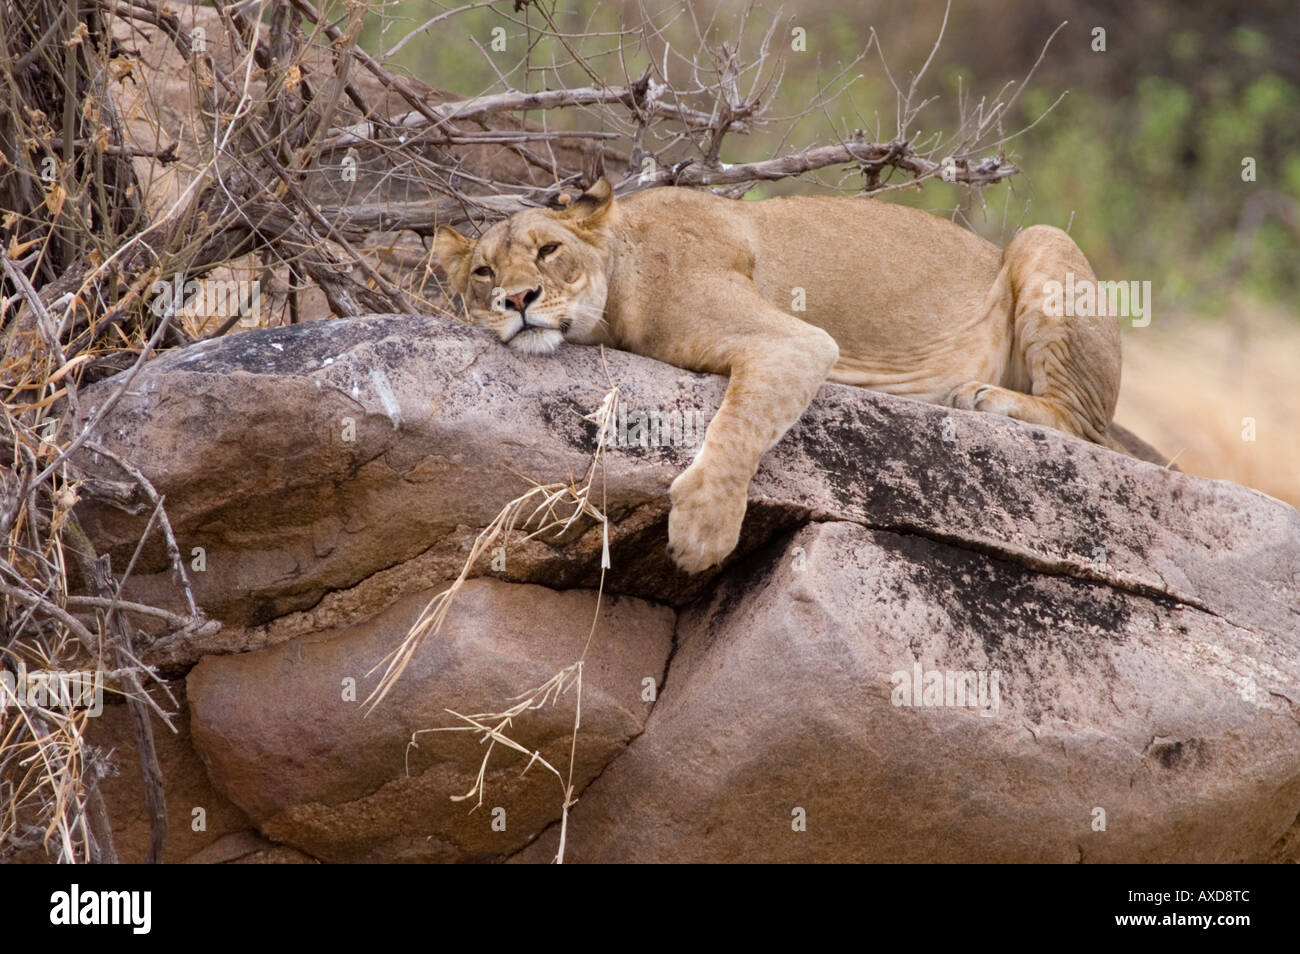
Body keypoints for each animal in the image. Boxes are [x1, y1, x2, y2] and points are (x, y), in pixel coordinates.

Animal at [434, 178, 1128, 574]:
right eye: (483, 272)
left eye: (549, 251)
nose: (516, 300)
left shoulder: (795, 342)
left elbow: (740, 425)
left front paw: (703, 531)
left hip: (1042, 241)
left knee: (1086, 428)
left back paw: (985, 399)